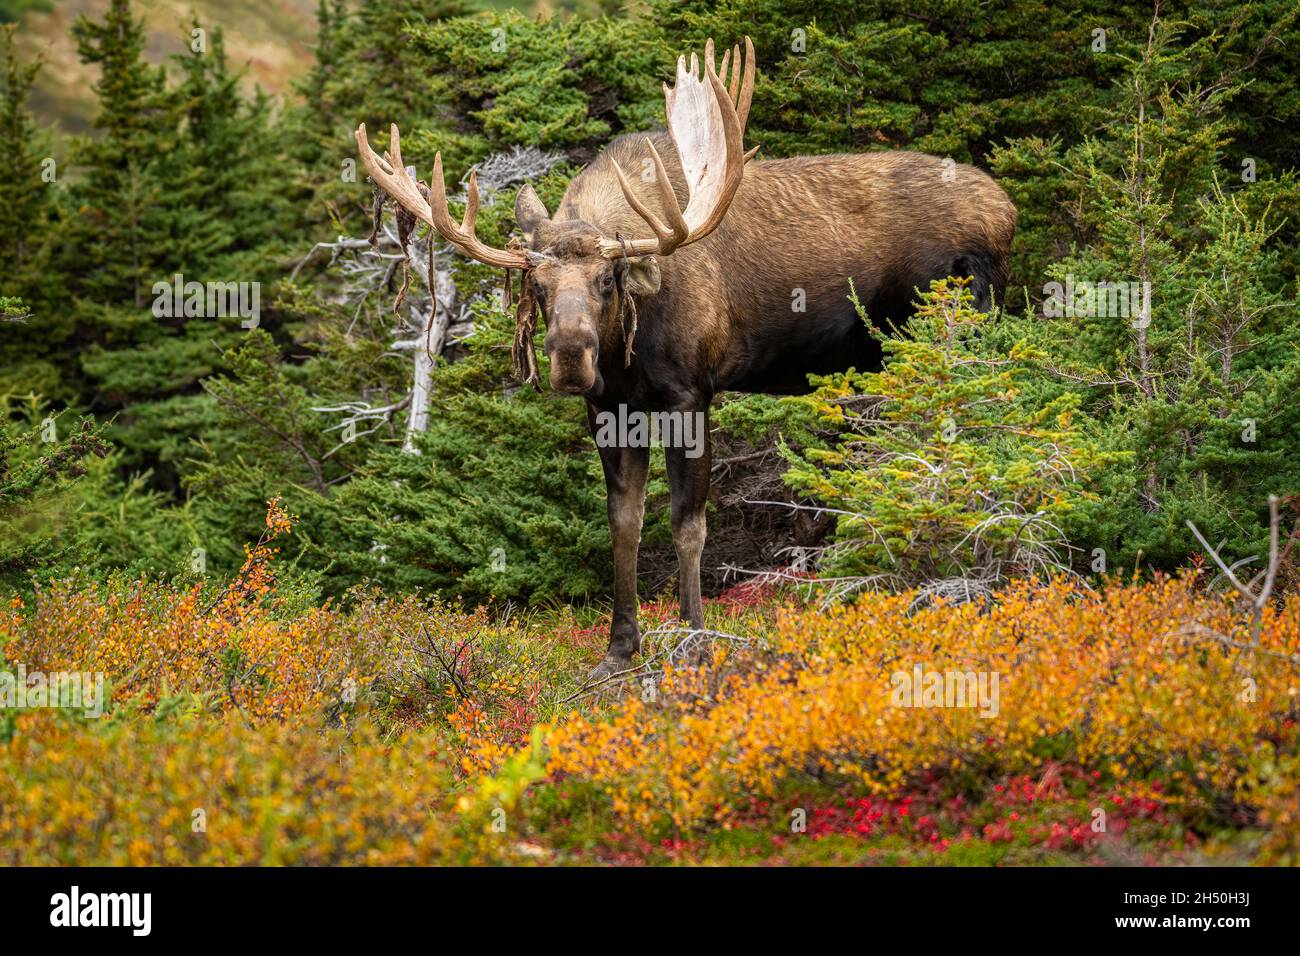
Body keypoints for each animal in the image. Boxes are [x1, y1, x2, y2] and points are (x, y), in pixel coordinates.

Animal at [356, 37, 1017, 680]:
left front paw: (694, 638)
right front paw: (620, 649)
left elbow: (689, 524)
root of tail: (1006, 212)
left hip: (953, 329)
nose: (571, 359)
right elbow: (624, 522)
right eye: (538, 289)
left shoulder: (691, 395)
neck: (628, 350)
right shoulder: (611, 408)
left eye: (607, 280)